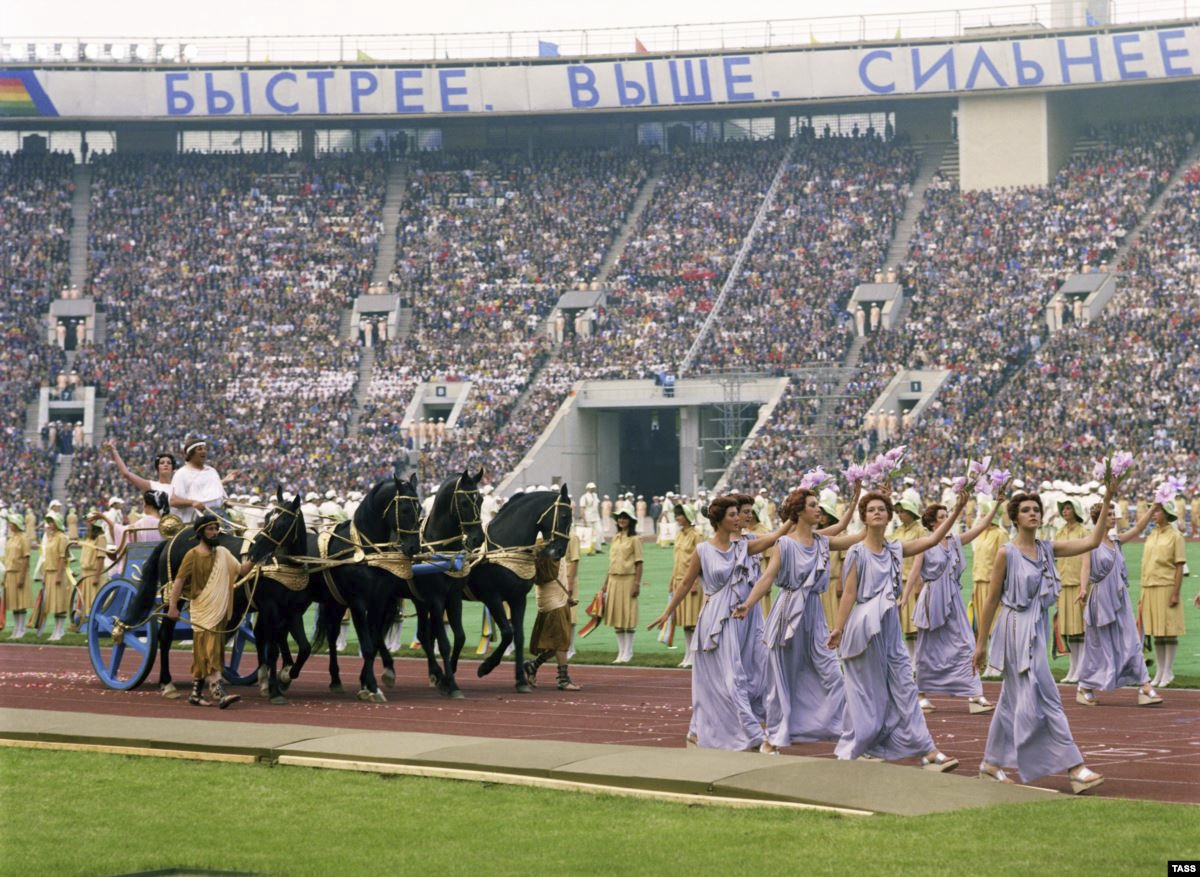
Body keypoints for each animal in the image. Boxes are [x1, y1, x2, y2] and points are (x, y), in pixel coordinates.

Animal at [463, 487, 571, 691]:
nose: (560, 551)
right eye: (564, 515)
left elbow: (519, 636)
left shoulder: (518, 598)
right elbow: (507, 632)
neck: (504, 549)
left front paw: (521, 679)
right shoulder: (492, 597)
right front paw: (485, 667)